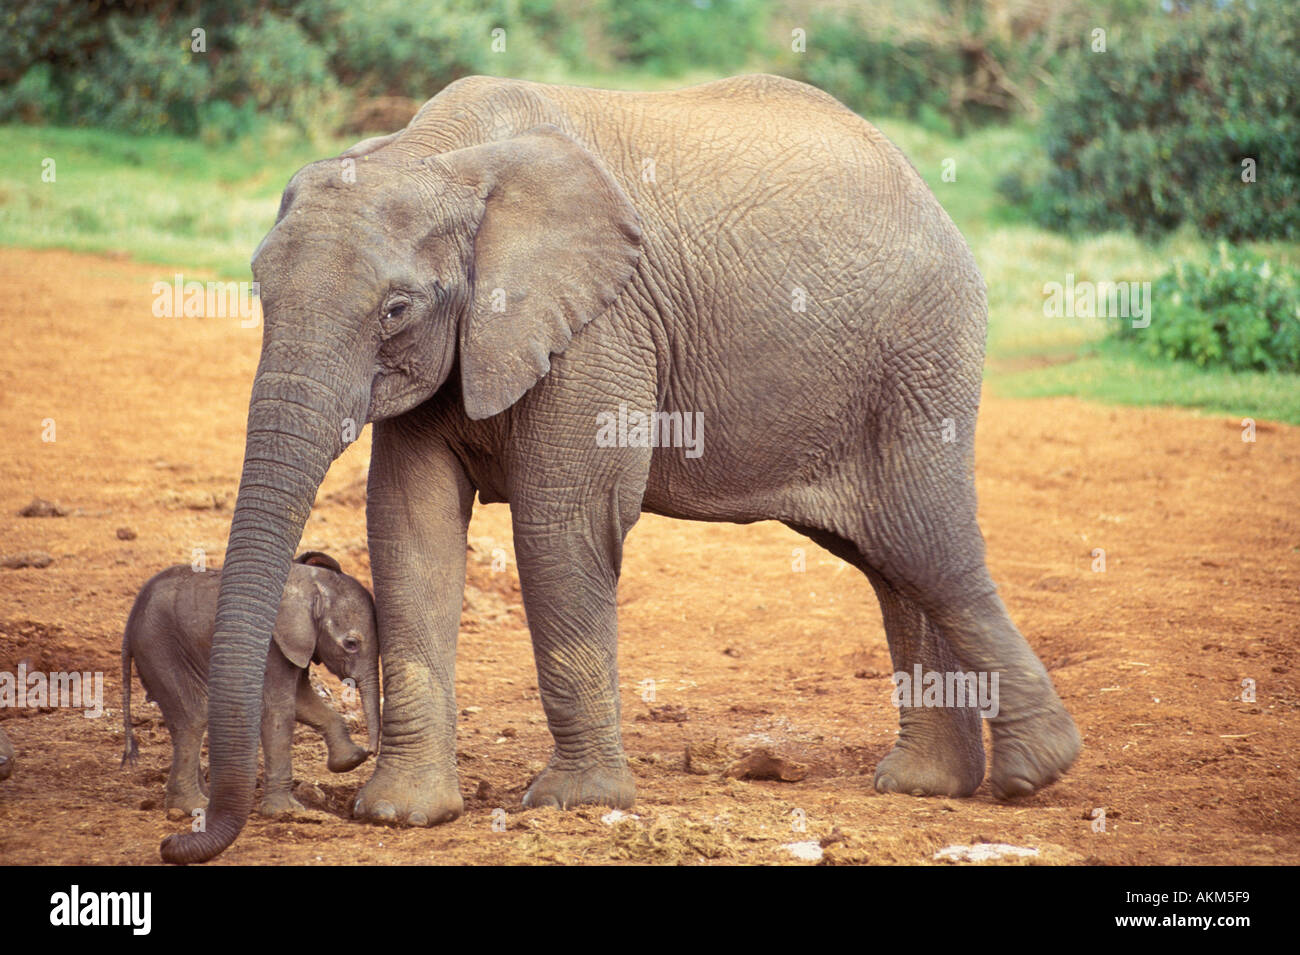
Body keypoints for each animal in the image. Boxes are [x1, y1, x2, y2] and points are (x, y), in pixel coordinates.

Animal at [123, 551, 380, 816]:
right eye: (351, 644)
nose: (371, 751)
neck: (310, 583)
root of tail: (131, 622)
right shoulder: (273, 645)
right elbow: (279, 708)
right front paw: (286, 811)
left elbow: (302, 702)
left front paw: (350, 760)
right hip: (161, 650)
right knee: (193, 718)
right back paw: (194, 806)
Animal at [160, 73, 1080, 863]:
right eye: (259, 291)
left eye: (394, 309)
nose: (179, 842)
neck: (439, 155)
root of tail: (927, 190)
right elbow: (408, 523)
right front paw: (400, 814)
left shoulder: (601, 323)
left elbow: (561, 521)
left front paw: (574, 802)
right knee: (893, 563)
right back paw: (929, 787)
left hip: (918, 357)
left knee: (923, 542)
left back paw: (1035, 770)